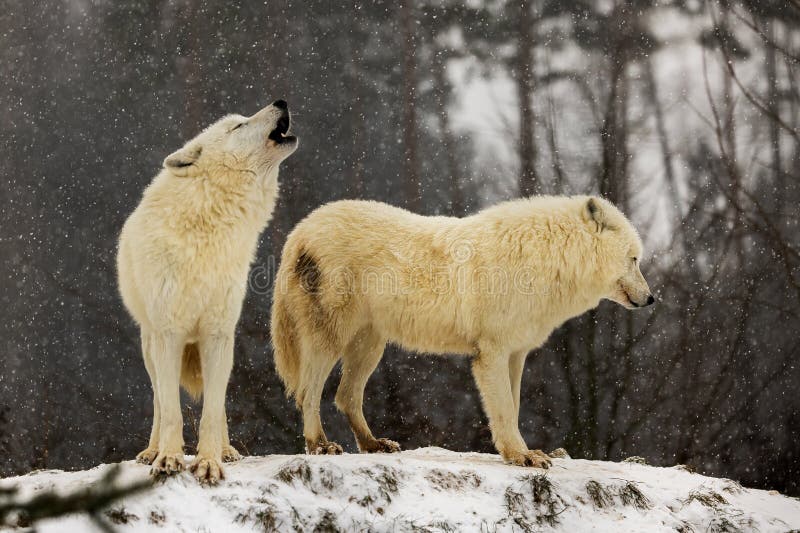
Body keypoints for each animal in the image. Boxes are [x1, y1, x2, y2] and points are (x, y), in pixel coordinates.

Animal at [117, 100, 298, 483]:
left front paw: (209, 461)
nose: (281, 102)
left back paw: (227, 451)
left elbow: (213, 411)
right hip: (149, 345)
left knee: (219, 402)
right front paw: (169, 459)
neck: (210, 226)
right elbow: (172, 410)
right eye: (238, 126)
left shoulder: (217, 334)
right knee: (159, 400)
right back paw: (152, 450)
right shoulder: (169, 335)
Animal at [270, 195, 653, 467]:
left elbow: (513, 407)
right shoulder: (492, 352)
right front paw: (523, 456)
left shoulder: (516, 353)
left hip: (370, 345)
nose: (651, 298)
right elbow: (503, 408)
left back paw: (374, 444)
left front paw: (517, 453)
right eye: (635, 259)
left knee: (345, 396)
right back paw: (321, 444)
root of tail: (299, 230)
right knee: (307, 393)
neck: (546, 258)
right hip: (331, 338)